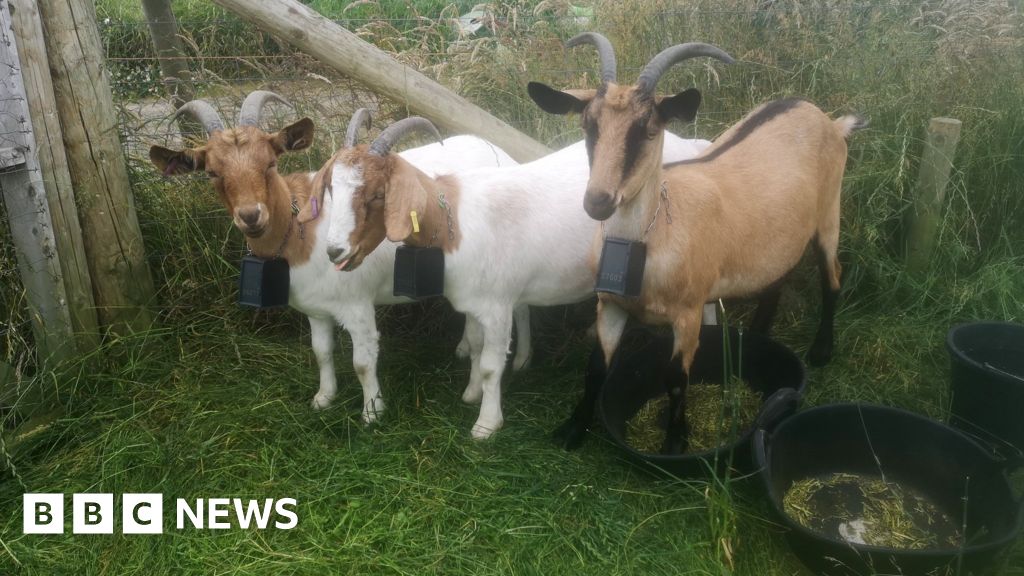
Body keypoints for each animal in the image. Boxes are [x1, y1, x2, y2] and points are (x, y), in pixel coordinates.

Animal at [149, 94, 528, 423]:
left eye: (270, 163)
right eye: (212, 173)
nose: (251, 216)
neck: (303, 230)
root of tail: (501, 151)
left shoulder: (357, 305)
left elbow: (362, 362)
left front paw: (372, 412)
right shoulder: (315, 308)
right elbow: (321, 351)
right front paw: (323, 397)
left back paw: (521, 360)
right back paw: (465, 347)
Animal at [315, 116, 710, 439]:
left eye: (377, 194)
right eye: (333, 188)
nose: (335, 251)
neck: (455, 221)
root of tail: (692, 144)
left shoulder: (496, 307)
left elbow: (492, 366)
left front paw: (486, 425)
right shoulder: (474, 304)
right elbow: (476, 347)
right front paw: (471, 392)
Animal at [529, 33, 863, 452]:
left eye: (647, 129)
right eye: (589, 126)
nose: (598, 201)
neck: (649, 238)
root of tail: (825, 119)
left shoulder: (687, 312)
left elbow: (676, 379)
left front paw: (675, 442)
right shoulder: (611, 305)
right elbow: (596, 368)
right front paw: (572, 429)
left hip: (829, 214)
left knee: (833, 275)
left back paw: (821, 351)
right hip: (779, 239)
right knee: (776, 280)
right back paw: (758, 334)